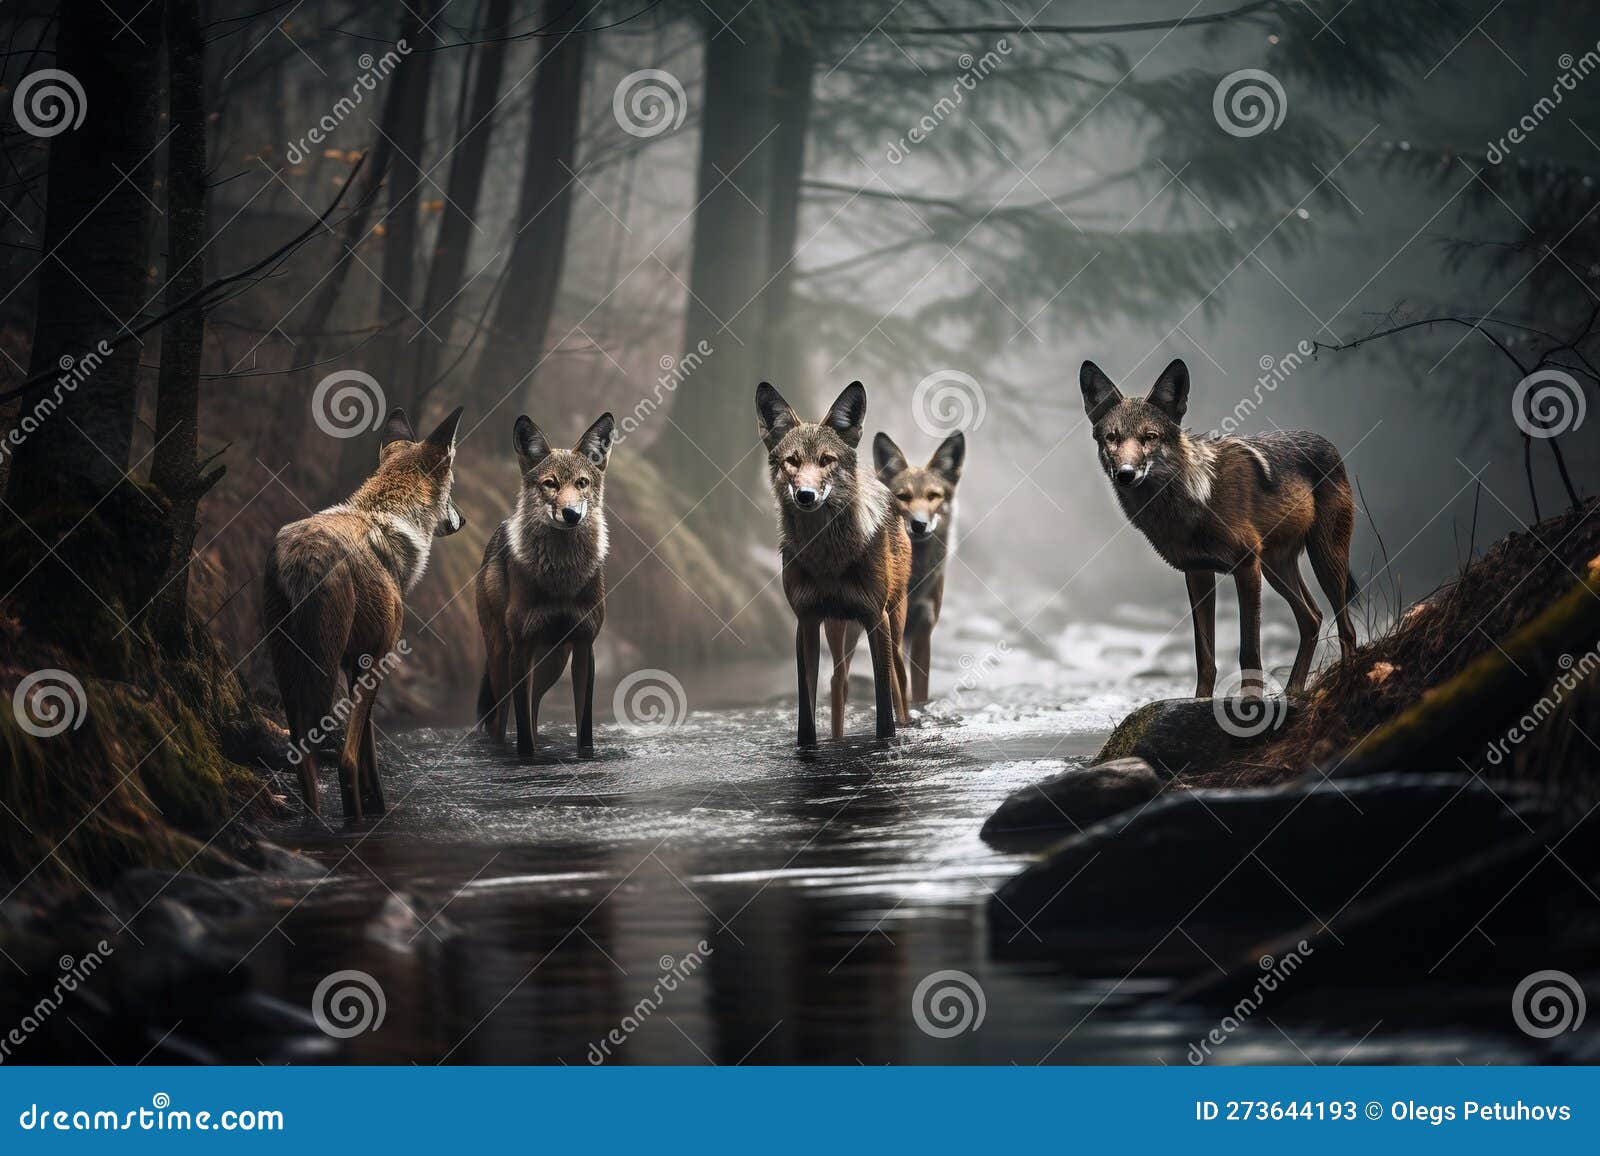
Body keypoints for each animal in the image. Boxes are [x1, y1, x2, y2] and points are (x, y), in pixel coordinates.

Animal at [263, 405, 465, 822]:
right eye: (453, 489)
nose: (463, 520)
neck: (389, 516)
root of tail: (304, 555)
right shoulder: (376, 660)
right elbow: (365, 756)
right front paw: (377, 808)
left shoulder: (355, 663)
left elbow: (370, 749)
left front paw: (376, 805)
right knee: (345, 761)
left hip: (289, 670)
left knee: (305, 764)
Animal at [475, 411, 615, 758]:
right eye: (550, 484)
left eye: (581, 483)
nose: (571, 513)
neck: (562, 578)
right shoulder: (520, 646)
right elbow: (522, 730)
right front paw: (526, 759)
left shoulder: (584, 646)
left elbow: (584, 725)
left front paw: (584, 757)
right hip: (503, 660)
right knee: (500, 723)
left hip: (551, 664)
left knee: (535, 710)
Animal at [756, 380, 912, 745]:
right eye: (792, 461)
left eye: (827, 460)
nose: (806, 495)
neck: (828, 559)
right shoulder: (807, 622)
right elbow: (806, 713)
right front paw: (810, 748)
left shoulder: (876, 619)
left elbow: (884, 708)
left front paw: (887, 741)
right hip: (840, 631)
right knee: (838, 682)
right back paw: (838, 739)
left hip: (893, 627)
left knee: (900, 685)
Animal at [1079, 358, 1357, 698]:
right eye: (1112, 437)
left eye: (1150, 437)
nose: (1126, 473)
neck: (1195, 499)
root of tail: (1329, 444)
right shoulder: (1197, 573)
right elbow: (1204, 656)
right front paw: (1199, 701)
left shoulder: (1246, 567)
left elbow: (1249, 651)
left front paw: (1250, 700)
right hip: (1276, 568)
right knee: (1313, 618)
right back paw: (1293, 691)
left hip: (1324, 561)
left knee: (1345, 627)